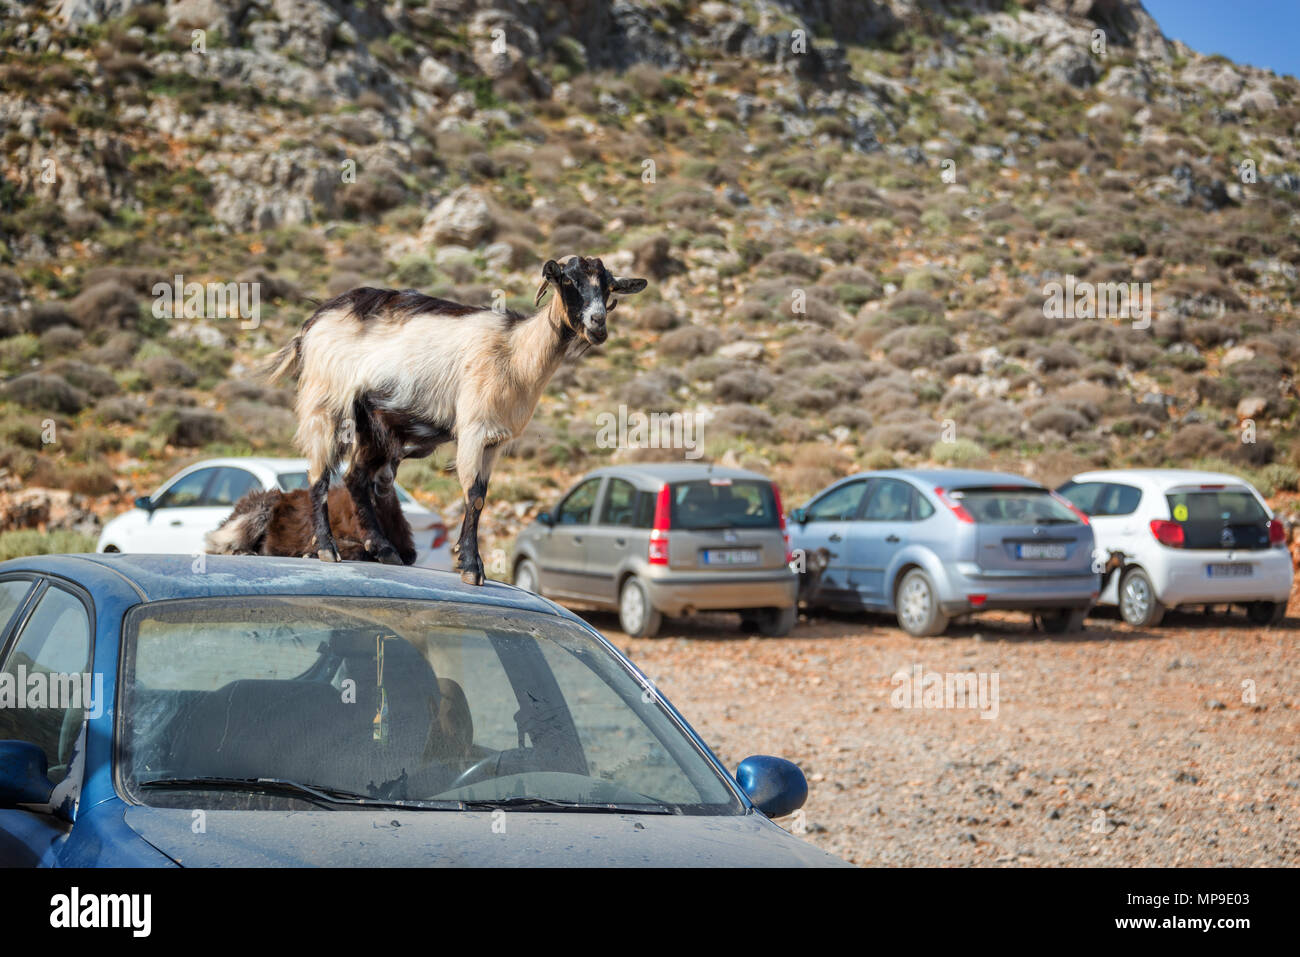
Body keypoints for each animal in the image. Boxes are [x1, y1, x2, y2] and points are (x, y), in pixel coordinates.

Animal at [264, 256, 648, 584]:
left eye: (609, 288)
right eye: (568, 280)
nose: (598, 325)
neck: (516, 352)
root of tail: (315, 321)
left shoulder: (495, 441)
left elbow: (481, 495)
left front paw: (469, 561)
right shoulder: (475, 429)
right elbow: (474, 495)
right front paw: (471, 566)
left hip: (374, 421)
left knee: (355, 478)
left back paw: (384, 550)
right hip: (326, 403)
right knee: (319, 474)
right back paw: (327, 549)